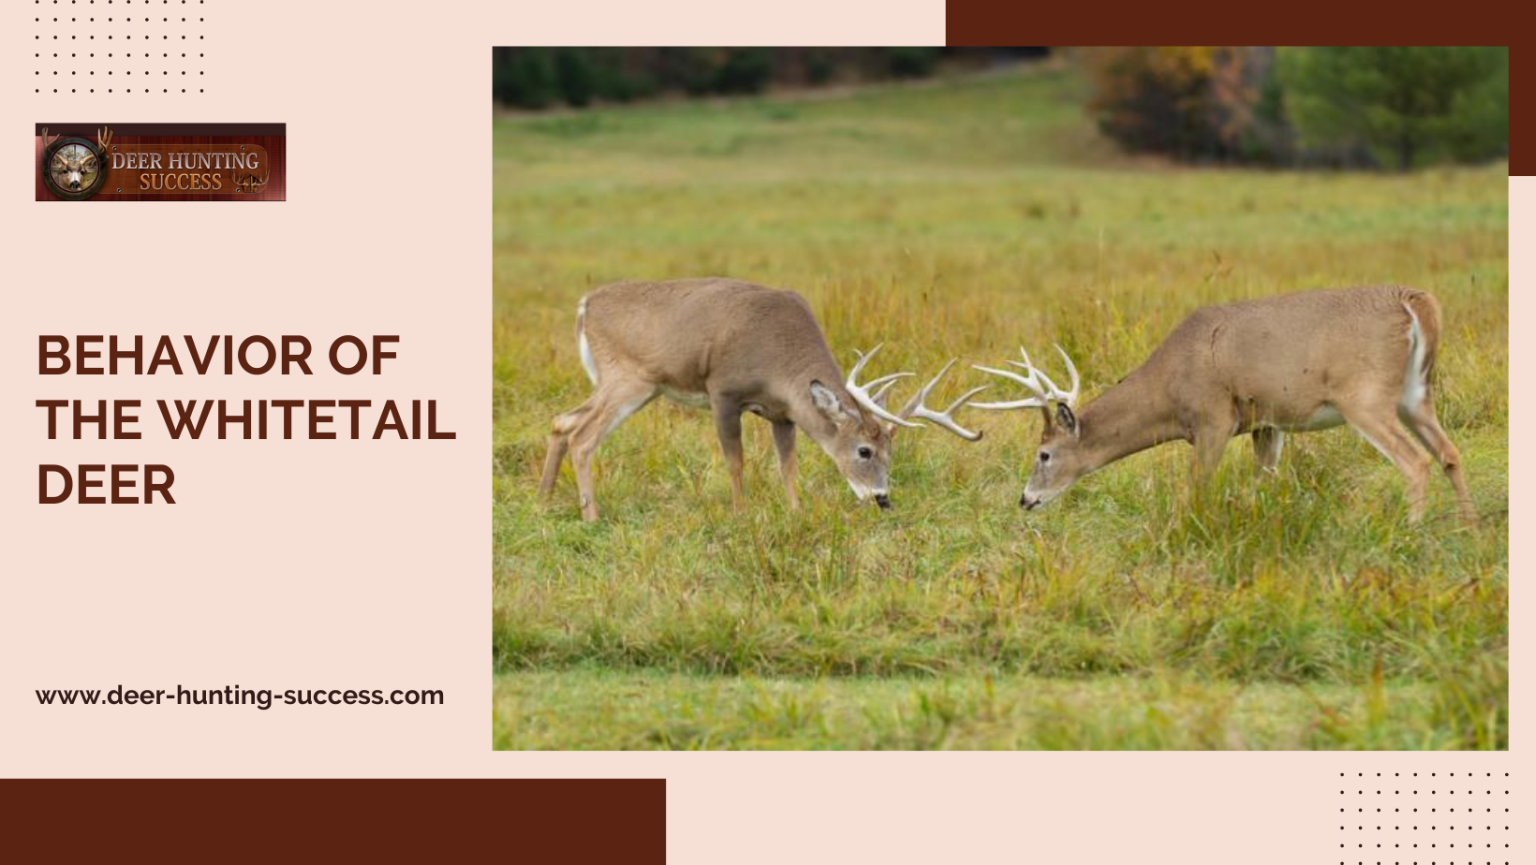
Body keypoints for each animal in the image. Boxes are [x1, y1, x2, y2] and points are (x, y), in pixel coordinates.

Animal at [538, 278, 986, 521]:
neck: (778, 357)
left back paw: (543, 502)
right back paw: (591, 515)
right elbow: (735, 461)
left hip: (633, 386)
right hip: (628, 378)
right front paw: (741, 514)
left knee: (562, 420)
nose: (882, 498)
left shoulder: (782, 413)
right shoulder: (723, 391)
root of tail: (585, 305)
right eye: (863, 451)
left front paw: (796, 511)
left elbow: (787, 466)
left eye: (891, 453)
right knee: (583, 436)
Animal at [969, 286, 1476, 524]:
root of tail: (1416, 302)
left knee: (1416, 462)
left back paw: (1410, 531)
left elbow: (1195, 488)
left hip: (1365, 397)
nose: (1025, 499)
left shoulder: (1213, 418)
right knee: (1450, 453)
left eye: (1044, 454)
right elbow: (1262, 486)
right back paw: (1468, 530)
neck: (1170, 382)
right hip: (1416, 394)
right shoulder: (1267, 422)